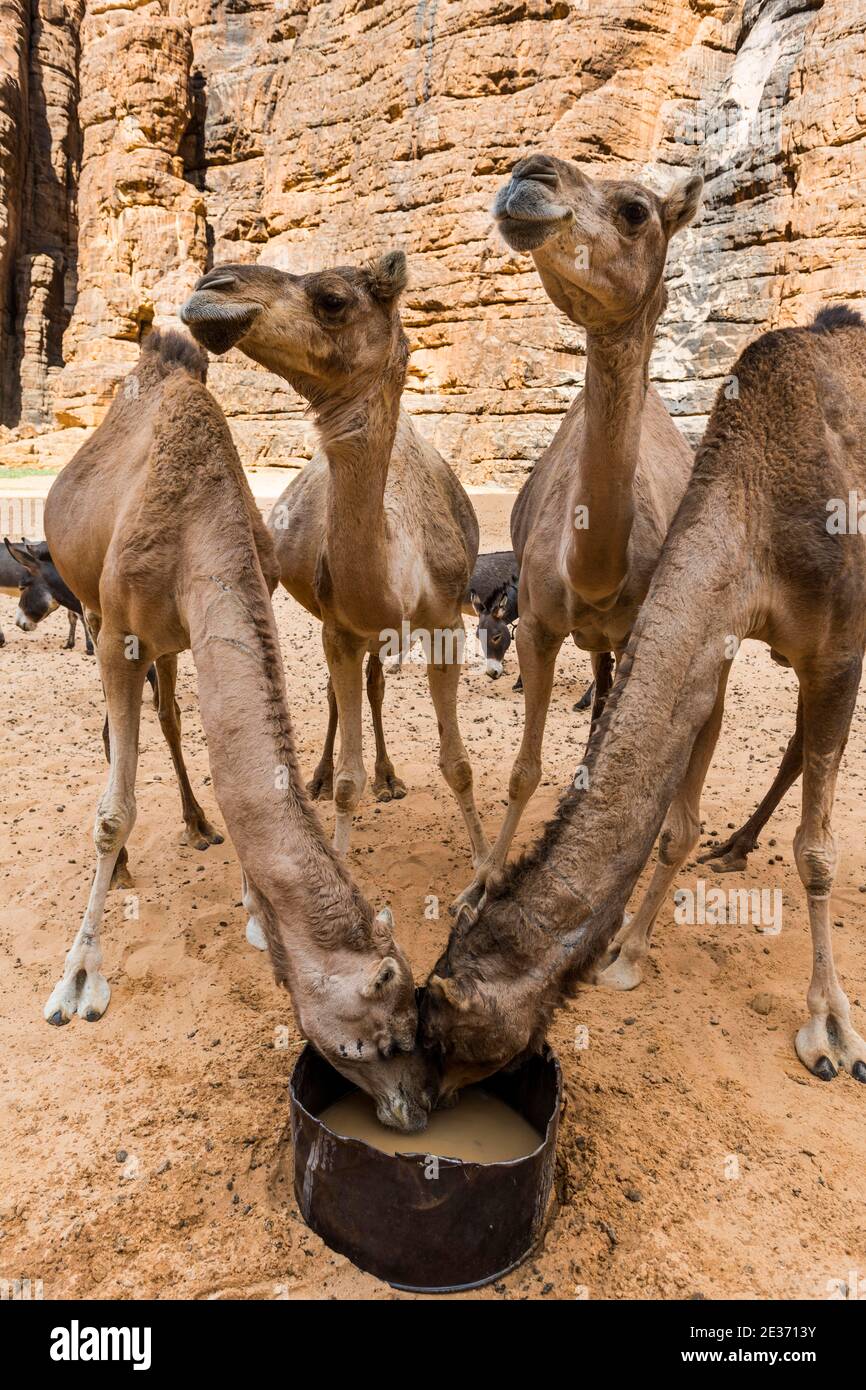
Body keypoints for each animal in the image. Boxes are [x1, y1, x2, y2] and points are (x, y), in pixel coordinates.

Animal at [42, 329, 433, 1131]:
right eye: (383, 1036)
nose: (416, 1108)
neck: (197, 523)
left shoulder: (227, 608)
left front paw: (255, 908)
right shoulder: (120, 634)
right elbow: (112, 811)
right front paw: (77, 979)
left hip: (165, 646)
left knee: (166, 718)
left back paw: (195, 823)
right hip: (93, 607)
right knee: (117, 739)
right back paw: (123, 868)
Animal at [179, 251, 489, 865]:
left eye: (332, 299)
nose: (211, 287)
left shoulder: (446, 621)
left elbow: (459, 766)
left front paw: (486, 866)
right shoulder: (340, 627)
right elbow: (350, 779)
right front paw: (341, 847)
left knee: (375, 684)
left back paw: (391, 778)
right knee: (335, 694)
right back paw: (321, 775)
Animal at [420, 307, 866, 1097]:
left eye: (446, 1039)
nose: (414, 1101)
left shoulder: (838, 650)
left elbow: (815, 850)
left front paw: (831, 1028)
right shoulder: (721, 633)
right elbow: (675, 815)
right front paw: (626, 944)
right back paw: (736, 845)